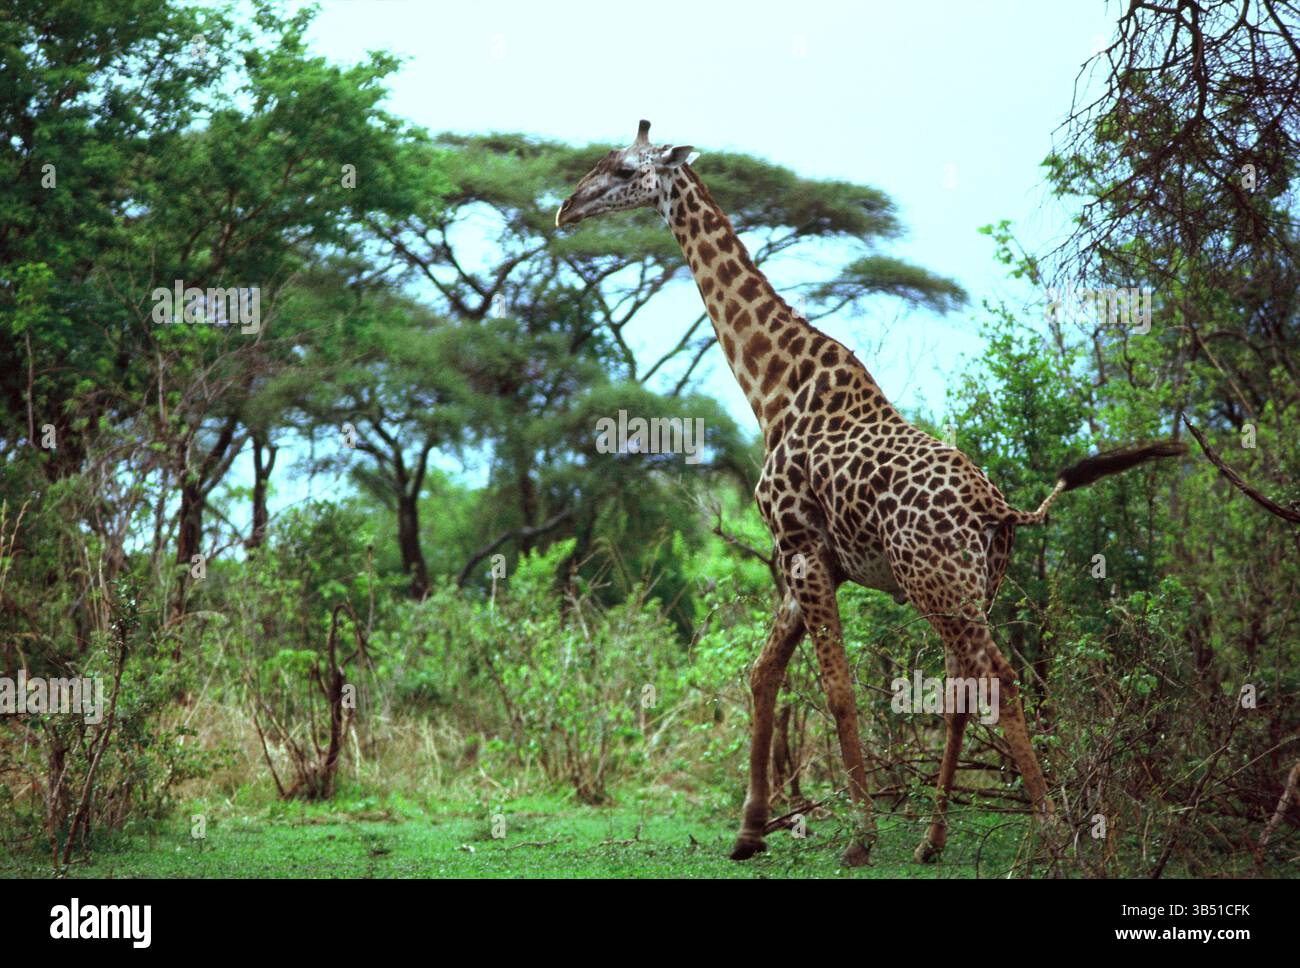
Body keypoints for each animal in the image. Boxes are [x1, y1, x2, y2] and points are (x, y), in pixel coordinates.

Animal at [556, 120, 1186, 866]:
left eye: (624, 169)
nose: (565, 209)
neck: (771, 387)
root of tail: (1002, 509)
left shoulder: (799, 547)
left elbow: (837, 690)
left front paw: (858, 836)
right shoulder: (815, 558)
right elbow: (764, 674)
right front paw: (749, 830)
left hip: (937, 585)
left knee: (998, 677)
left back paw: (1054, 832)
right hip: (973, 587)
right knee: (964, 687)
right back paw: (934, 840)